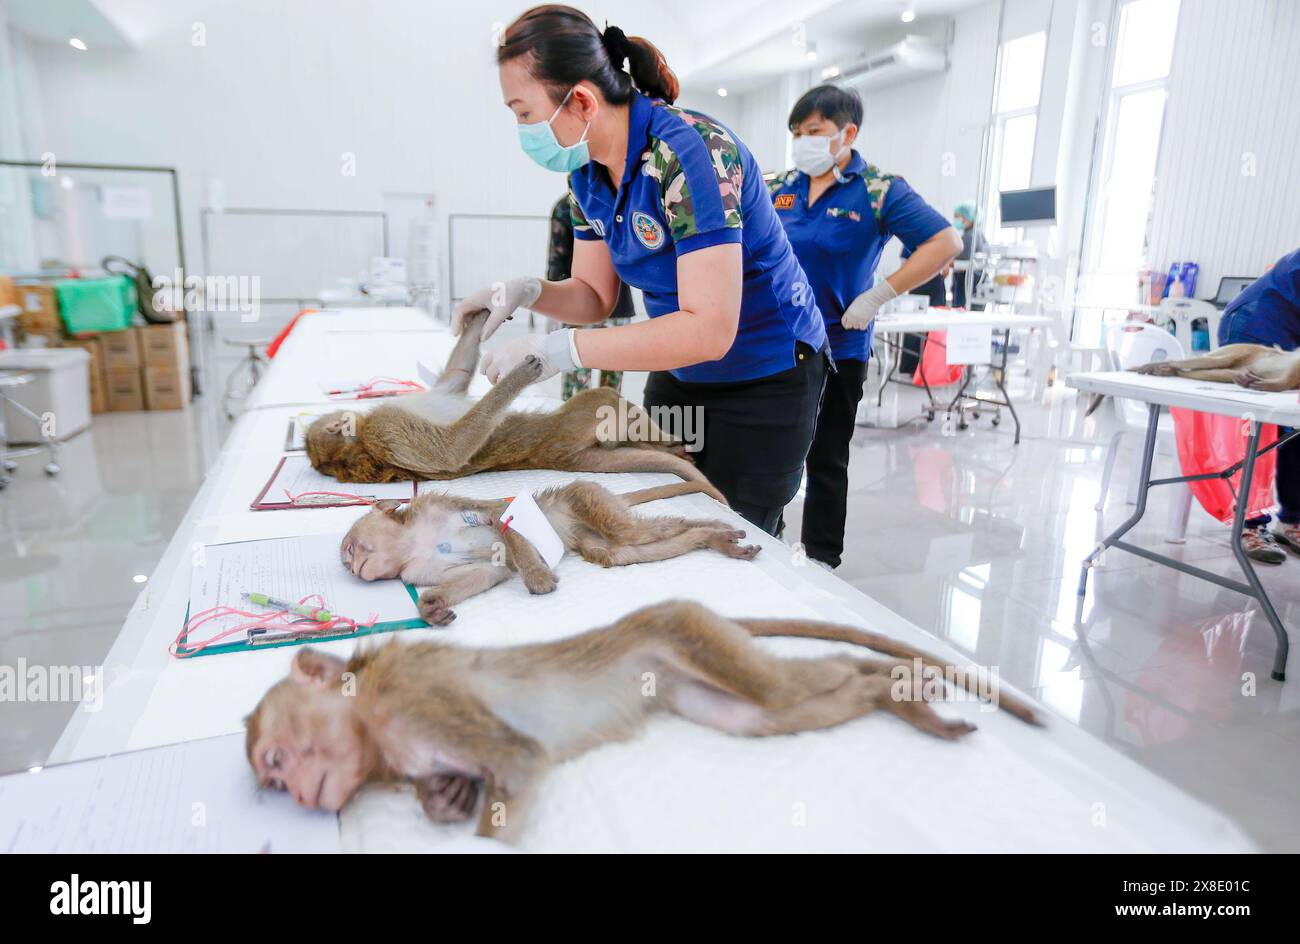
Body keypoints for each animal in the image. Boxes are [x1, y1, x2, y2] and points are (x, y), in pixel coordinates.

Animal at [245, 601, 1042, 843]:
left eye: (278, 763)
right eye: (276, 783)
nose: (300, 794)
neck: (370, 723)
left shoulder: (410, 699)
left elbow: (521, 757)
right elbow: (471, 782)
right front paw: (448, 797)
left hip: (687, 630)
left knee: (778, 687)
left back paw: (889, 683)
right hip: (689, 685)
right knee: (767, 714)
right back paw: (885, 695)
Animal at [305, 309, 725, 502]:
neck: (360, 443)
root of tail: (558, 455)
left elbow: (455, 378)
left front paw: (483, 310)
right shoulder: (386, 429)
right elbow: (450, 452)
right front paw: (522, 372)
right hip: (576, 423)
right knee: (603, 400)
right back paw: (666, 443)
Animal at [341, 480, 761, 625]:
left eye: (349, 547)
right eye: (347, 558)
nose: (350, 566)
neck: (414, 541)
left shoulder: (435, 504)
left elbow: (501, 517)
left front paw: (538, 577)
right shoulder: (414, 570)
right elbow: (489, 573)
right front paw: (431, 607)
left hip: (586, 496)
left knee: (634, 530)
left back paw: (714, 526)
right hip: (591, 536)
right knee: (620, 552)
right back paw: (710, 539)